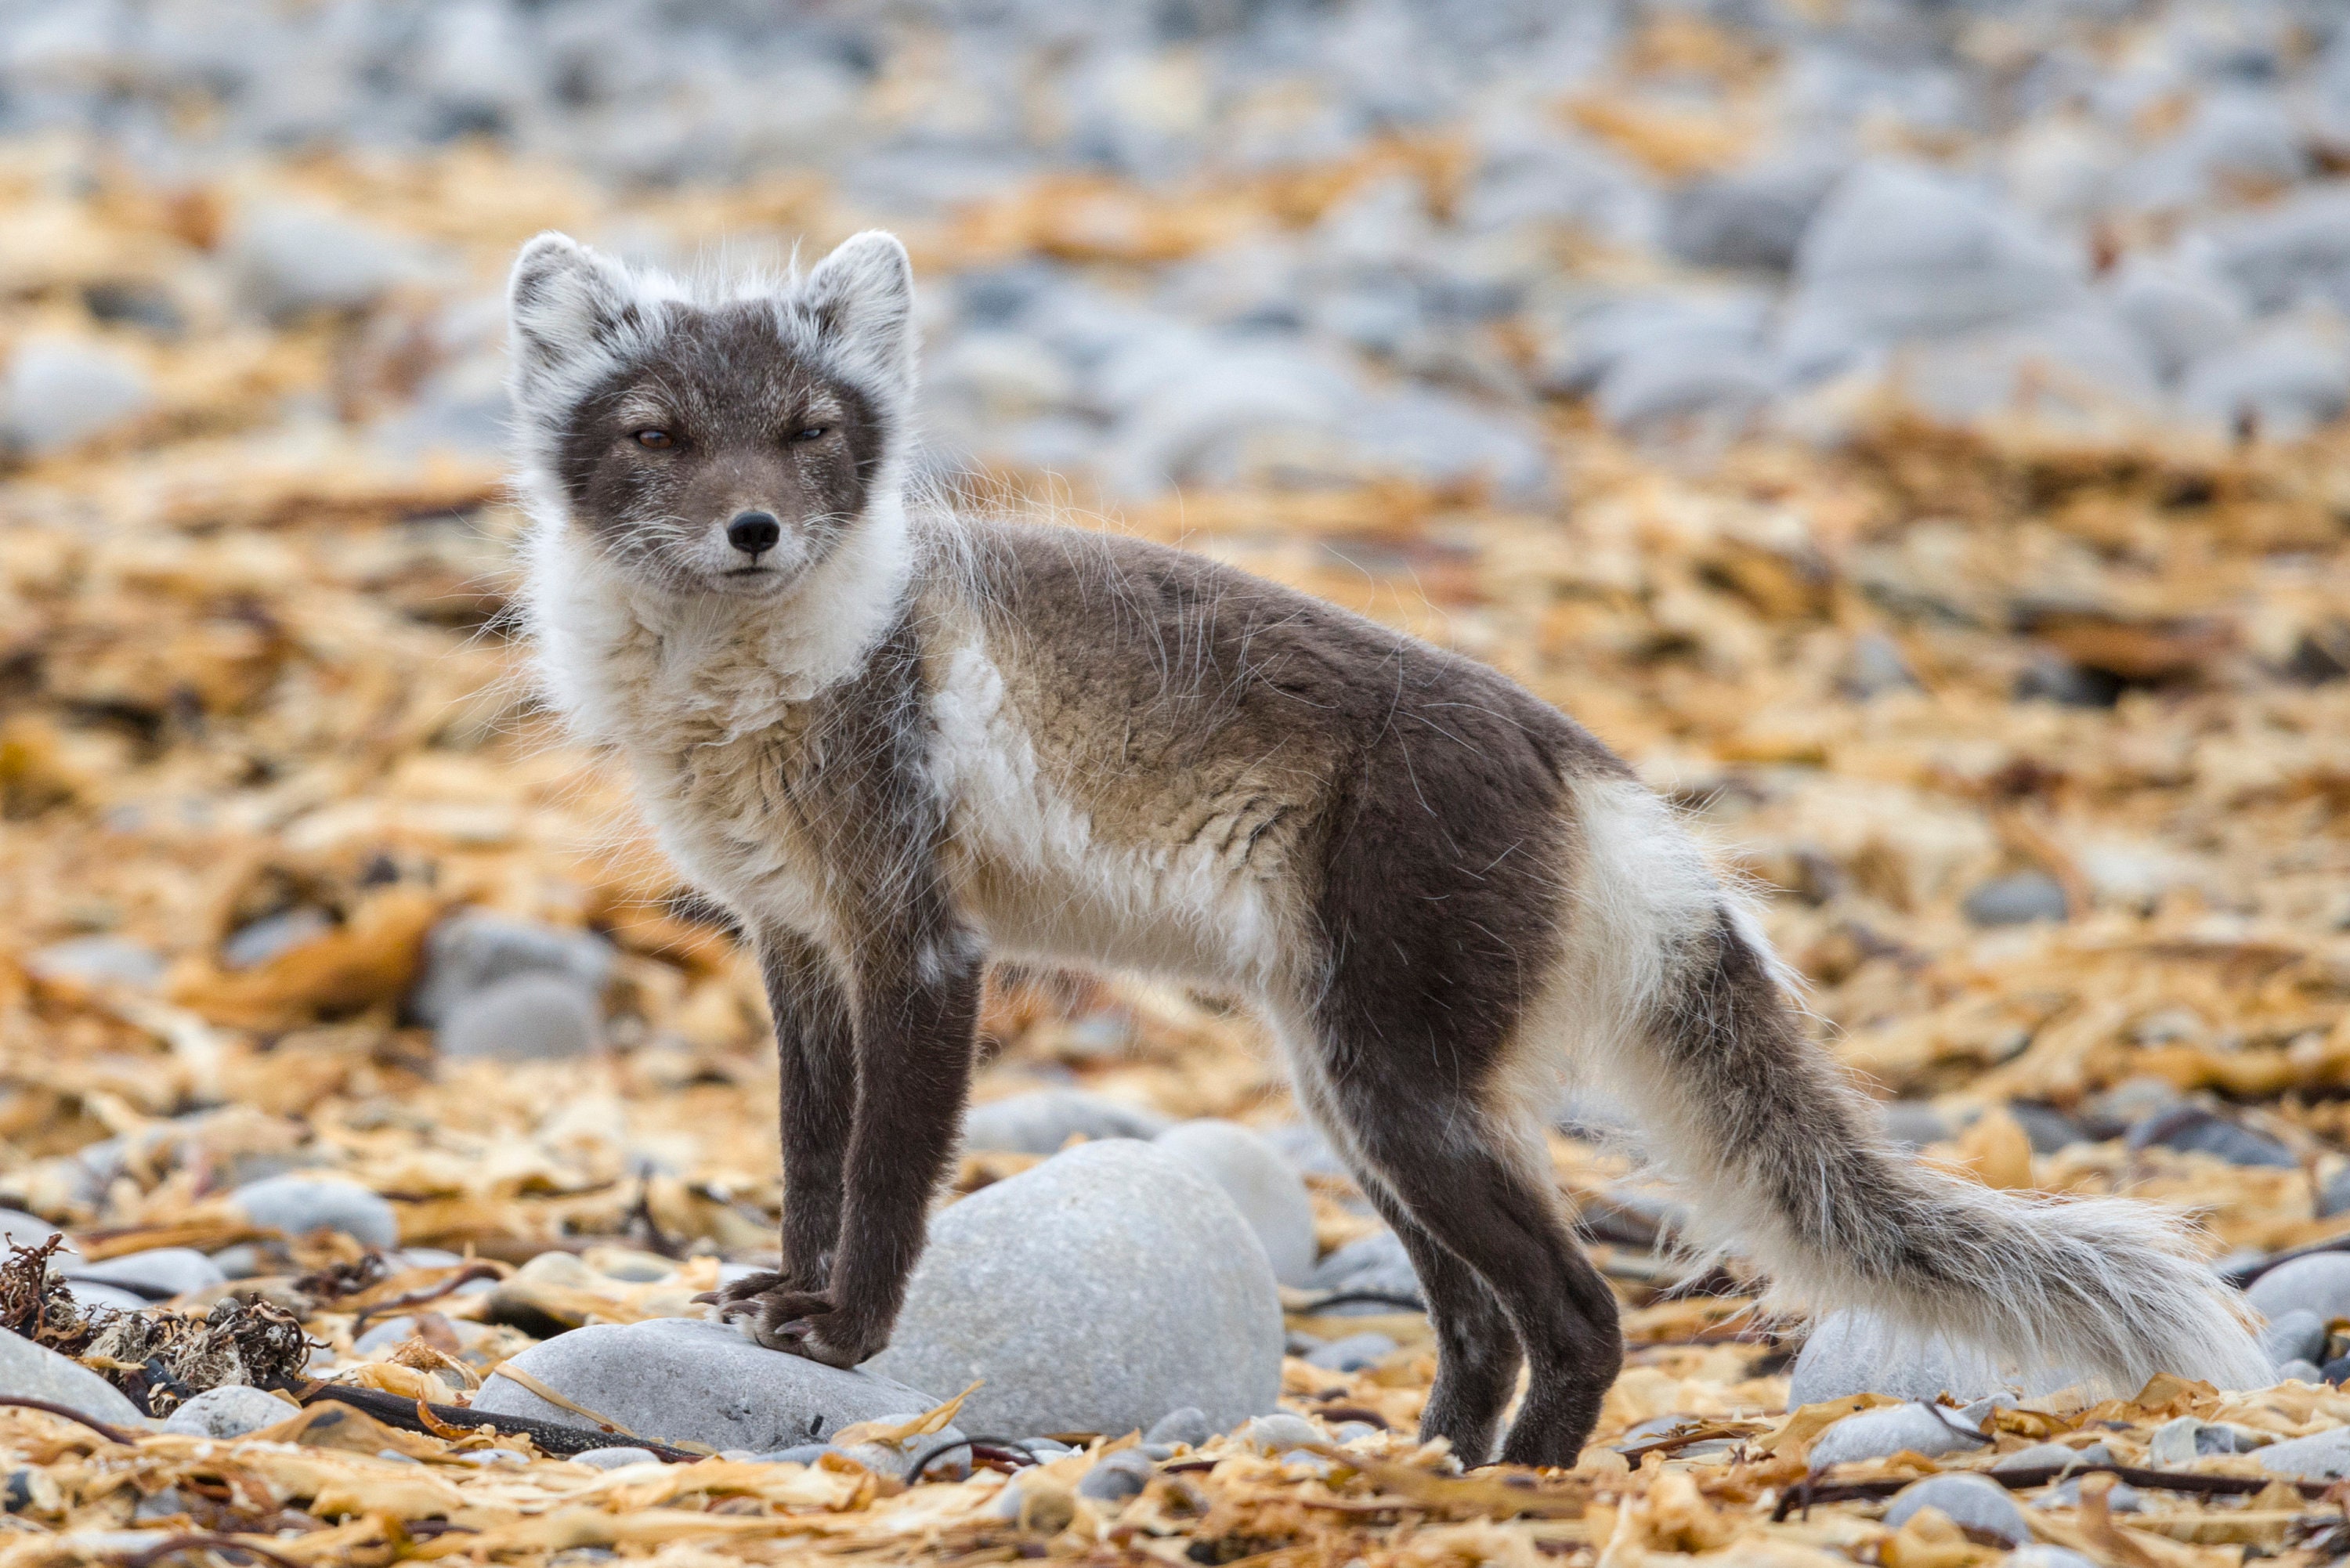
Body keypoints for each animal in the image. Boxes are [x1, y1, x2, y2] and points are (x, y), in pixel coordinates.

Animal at [505, 228, 2267, 1467]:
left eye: (810, 429)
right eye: (658, 433)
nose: (756, 531)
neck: (764, 682)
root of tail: (1594, 774)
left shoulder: (920, 940)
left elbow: (884, 1170)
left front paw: (846, 1333)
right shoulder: (798, 940)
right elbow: (808, 1147)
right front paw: (779, 1295)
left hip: (1399, 1084)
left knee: (1581, 1310)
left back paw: (1522, 1487)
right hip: (1359, 1089)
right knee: (1482, 1325)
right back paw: (1421, 1465)